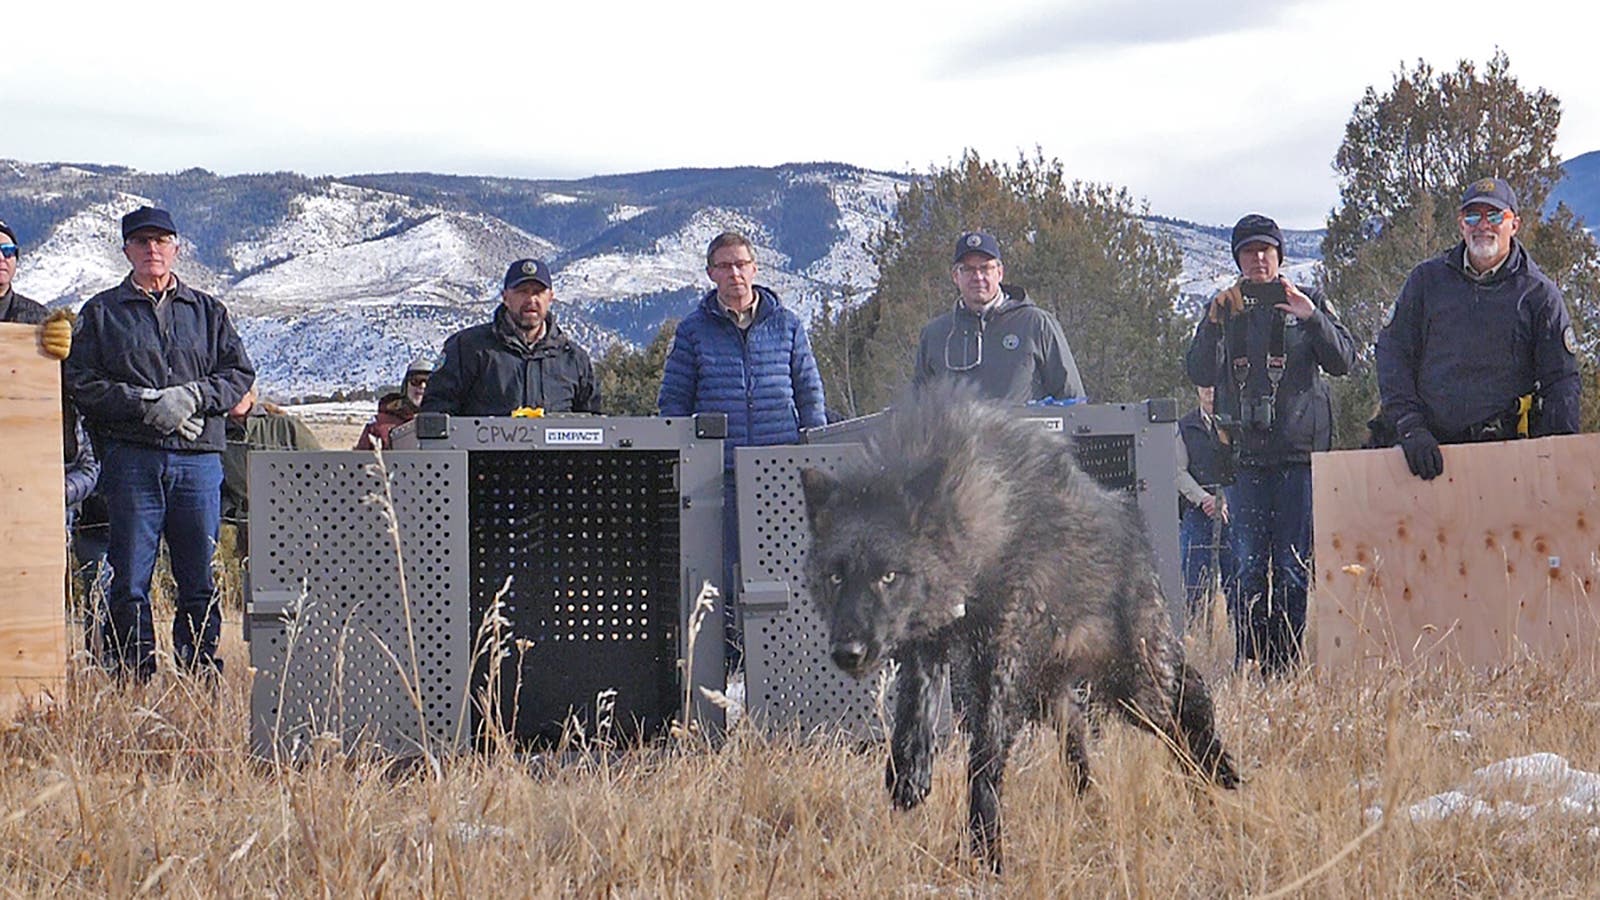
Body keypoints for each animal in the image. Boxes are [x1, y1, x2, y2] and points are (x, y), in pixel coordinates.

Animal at [800, 386, 1239, 871]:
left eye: (888, 576)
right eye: (835, 577)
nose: (849, 652)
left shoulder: (999, 663)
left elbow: (985, 757)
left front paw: (985, 849)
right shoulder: (928, 644)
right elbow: (916, 711)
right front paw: (910, 774)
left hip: (1133, 686)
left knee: (1188, 703)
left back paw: (1216, 773)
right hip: (1057, 694)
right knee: (1080, 731)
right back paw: (1091, 800)